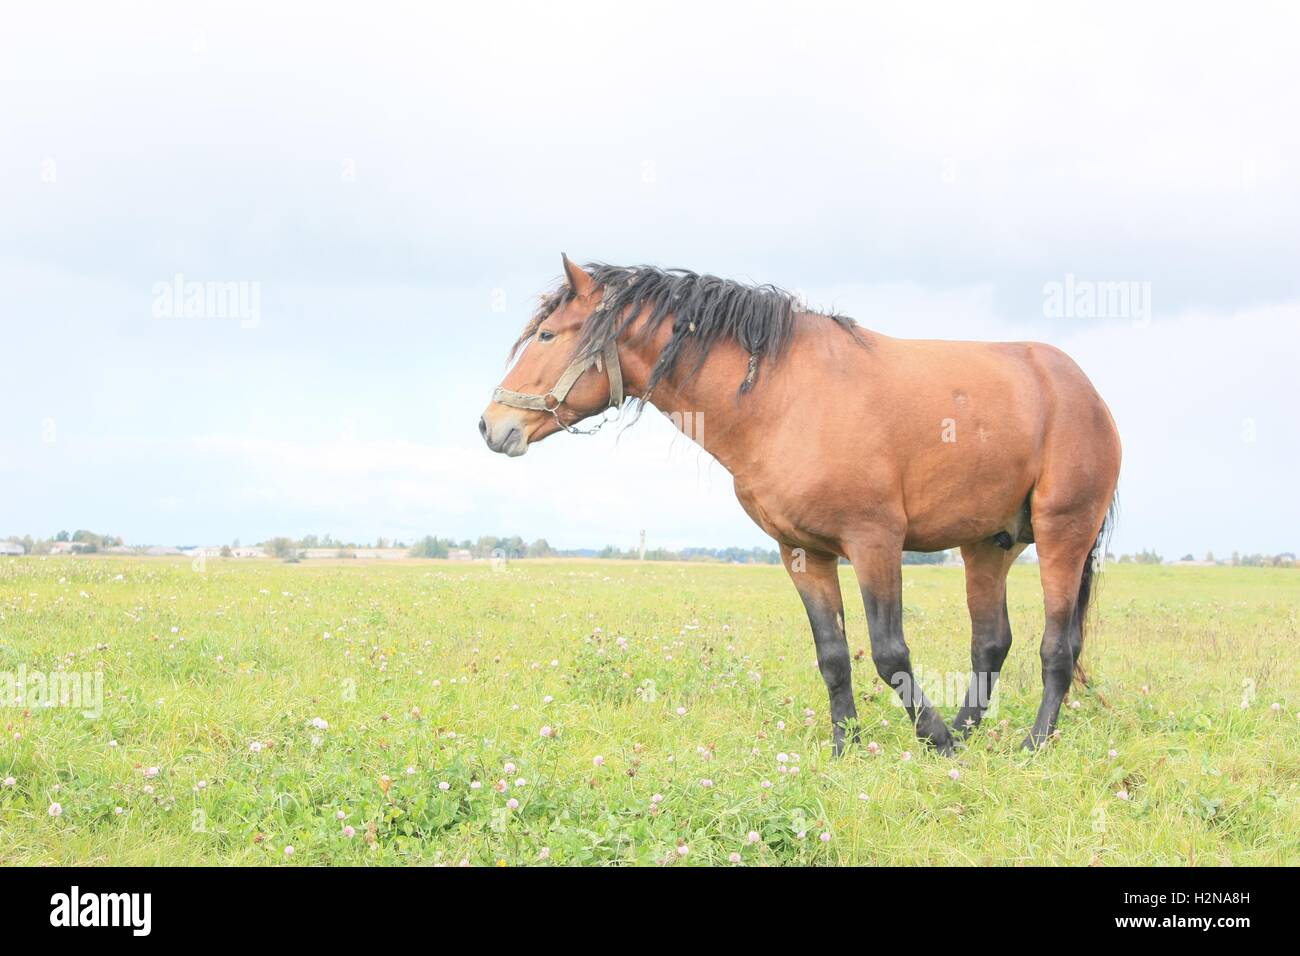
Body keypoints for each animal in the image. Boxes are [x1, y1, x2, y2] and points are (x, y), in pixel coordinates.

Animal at [480, 255, 1121, 755]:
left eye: (547, 336)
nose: (491, 426)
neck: (783, 399)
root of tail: (1084, 390)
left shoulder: (875, 543)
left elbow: (889, 653)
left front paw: (932, 740)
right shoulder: (803, 552)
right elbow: (833, 656)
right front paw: (847, 748)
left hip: (1063, 534)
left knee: (1057, 647)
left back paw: (1032, 742)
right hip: (987, 545)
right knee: (991, 643)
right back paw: (967, 735)